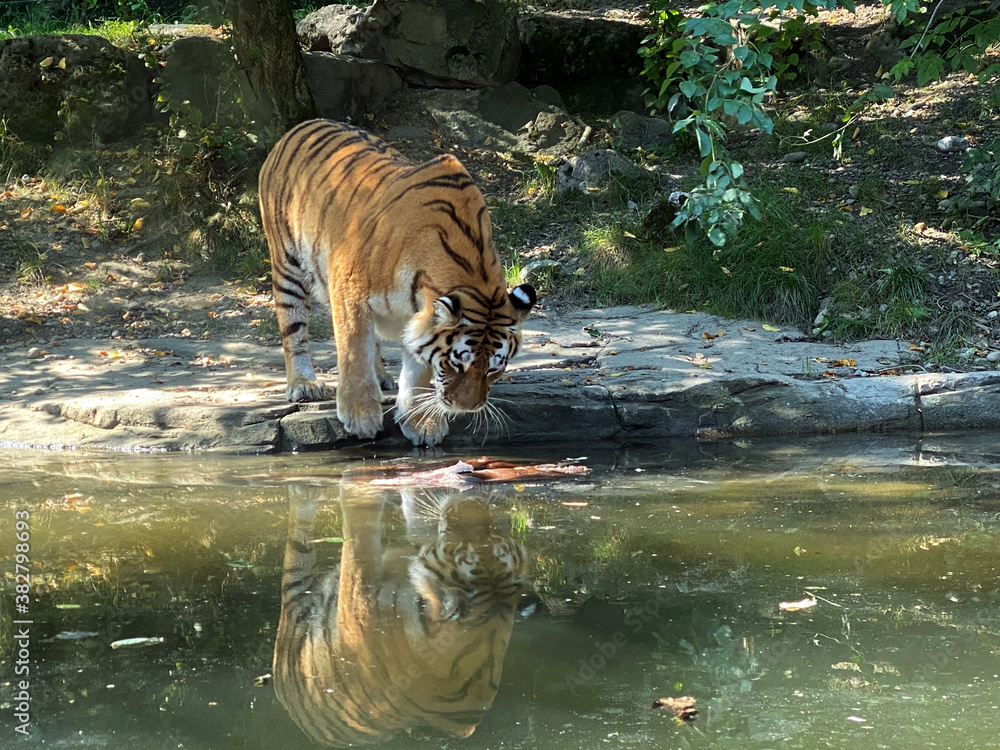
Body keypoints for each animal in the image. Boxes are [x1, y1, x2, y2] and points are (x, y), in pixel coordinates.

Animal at [258, 119, 537, 446]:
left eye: (495, 369)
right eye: (457, 363)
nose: (465, 408)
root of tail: (300, 126)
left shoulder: (418, 317)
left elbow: (417, 371)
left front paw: (421, 423)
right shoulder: (347, 282)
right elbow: (354, 350)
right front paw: (361, 417)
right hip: (288, 264)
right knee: (294, 327)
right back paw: (303, 384)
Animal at [272, 481, 529, 747]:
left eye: (459, 542)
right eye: (494, 534)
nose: (472, 502)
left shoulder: (356, 599)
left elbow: (358, 534)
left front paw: (360, 486)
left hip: (295, 599)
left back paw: (306, 491)